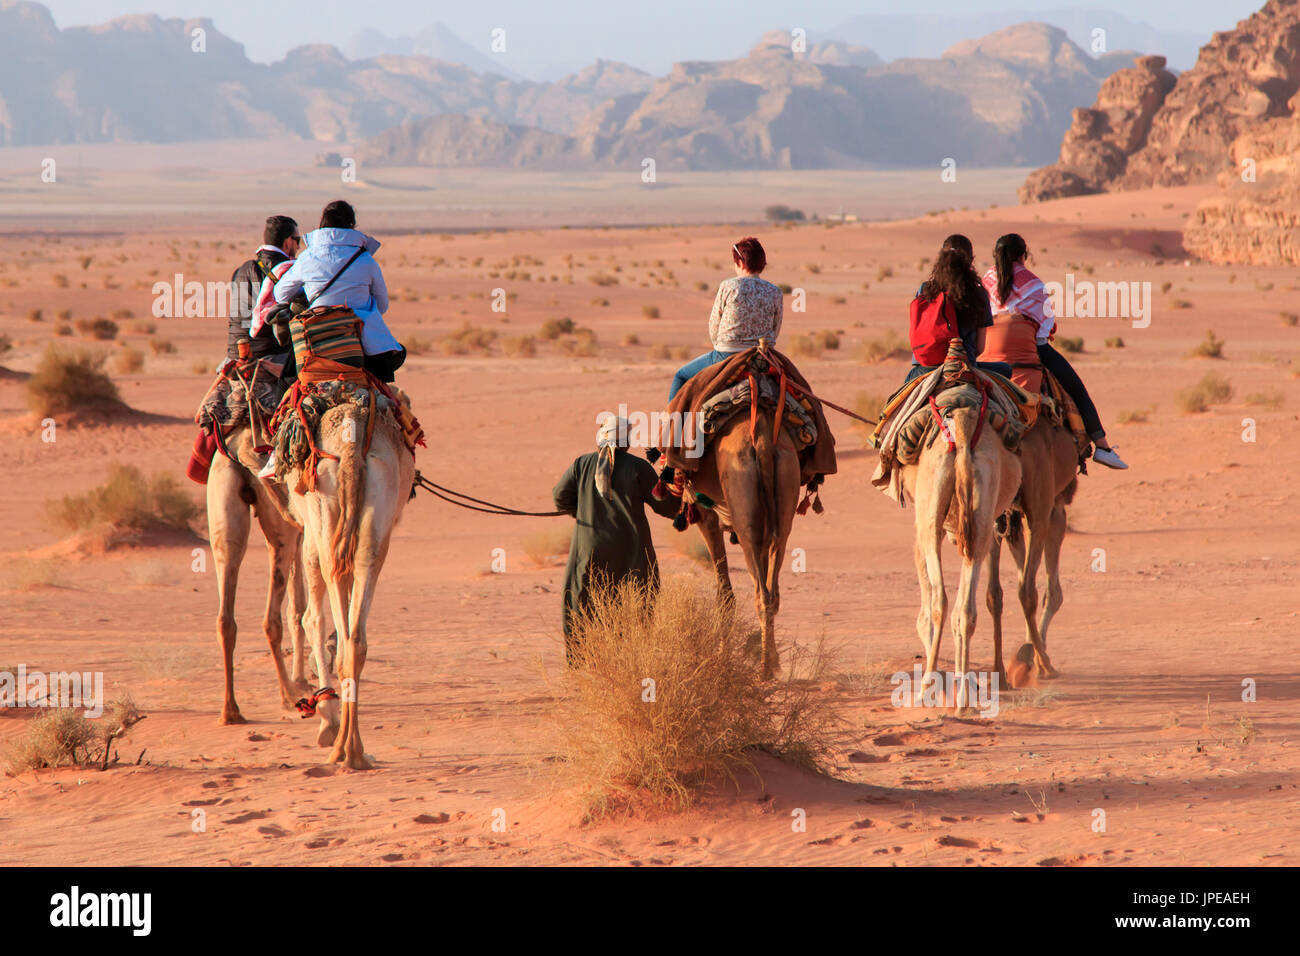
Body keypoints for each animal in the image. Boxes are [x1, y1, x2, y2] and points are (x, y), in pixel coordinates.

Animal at [206, 427, 310, 724]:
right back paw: (288, 696)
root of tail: (243, 448)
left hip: (223, 507)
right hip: (281, 527)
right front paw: (304, 681)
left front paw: (303, 679)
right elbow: (302, 608)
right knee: (270, 618)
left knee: (225, 618)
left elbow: (298, 607)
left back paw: (231, 711)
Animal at [287, 400, 414, 770]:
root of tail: (351, 440)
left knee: (328, 612)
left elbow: (311, 618)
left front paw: (326, 722)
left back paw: (341, 748)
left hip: (325, 510)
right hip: (375, 521)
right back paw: (354, 751)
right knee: (355, 640)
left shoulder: (309, 534)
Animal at [688, 407, 801, 681]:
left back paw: (763, 669)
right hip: (785, 483)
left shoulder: (706, 518)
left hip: (741, 505)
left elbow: (724, 595)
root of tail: (761, 439)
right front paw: (776, 659)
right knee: (772, 592)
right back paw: (769, 664)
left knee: (760, 592)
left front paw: (722, 659)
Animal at [901, 403, 1021, 712]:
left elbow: (924, 613)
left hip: (931, 514)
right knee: (965, 610)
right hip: (981, 515)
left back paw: (925, 689)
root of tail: (964, 433)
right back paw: (965, 699)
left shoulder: (920, 530)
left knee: (939, 601)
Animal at [985, 412, 1080, 686]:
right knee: (1027, 591)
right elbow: (1053, 592)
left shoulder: (1010, 516)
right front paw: (1033, 655)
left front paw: (1025, 652)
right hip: (1040, 508)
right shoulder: (1055, 506)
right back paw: (1046, 666)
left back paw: (1000, 674)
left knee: (994, 593)